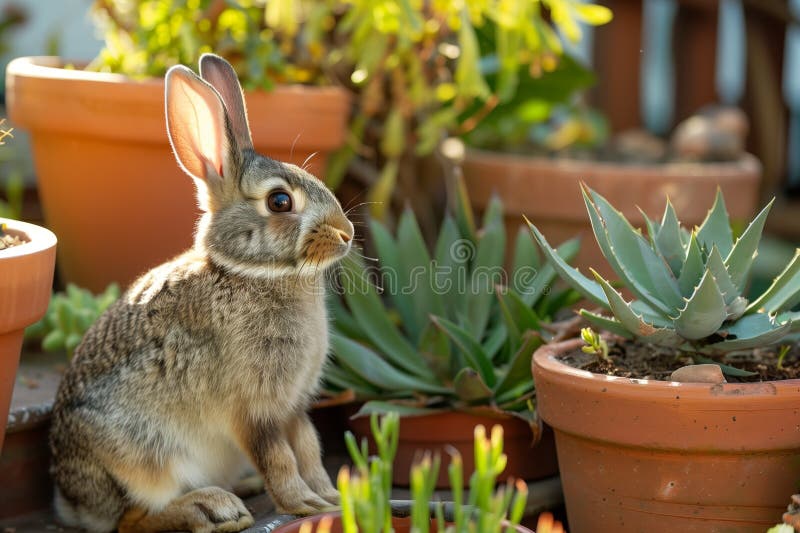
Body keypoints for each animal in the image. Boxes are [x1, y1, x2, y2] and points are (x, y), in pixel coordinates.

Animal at [49, 53, 353, 533]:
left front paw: (329, 497)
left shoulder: (293, 407)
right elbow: (280, 459)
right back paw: (212, 508)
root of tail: (71, 501)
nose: (347, 233)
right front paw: (303, 504)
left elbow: (309, 449)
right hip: (146, 455)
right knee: (131, 519)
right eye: (280, 202)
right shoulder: (253, 411)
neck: (252, 274)